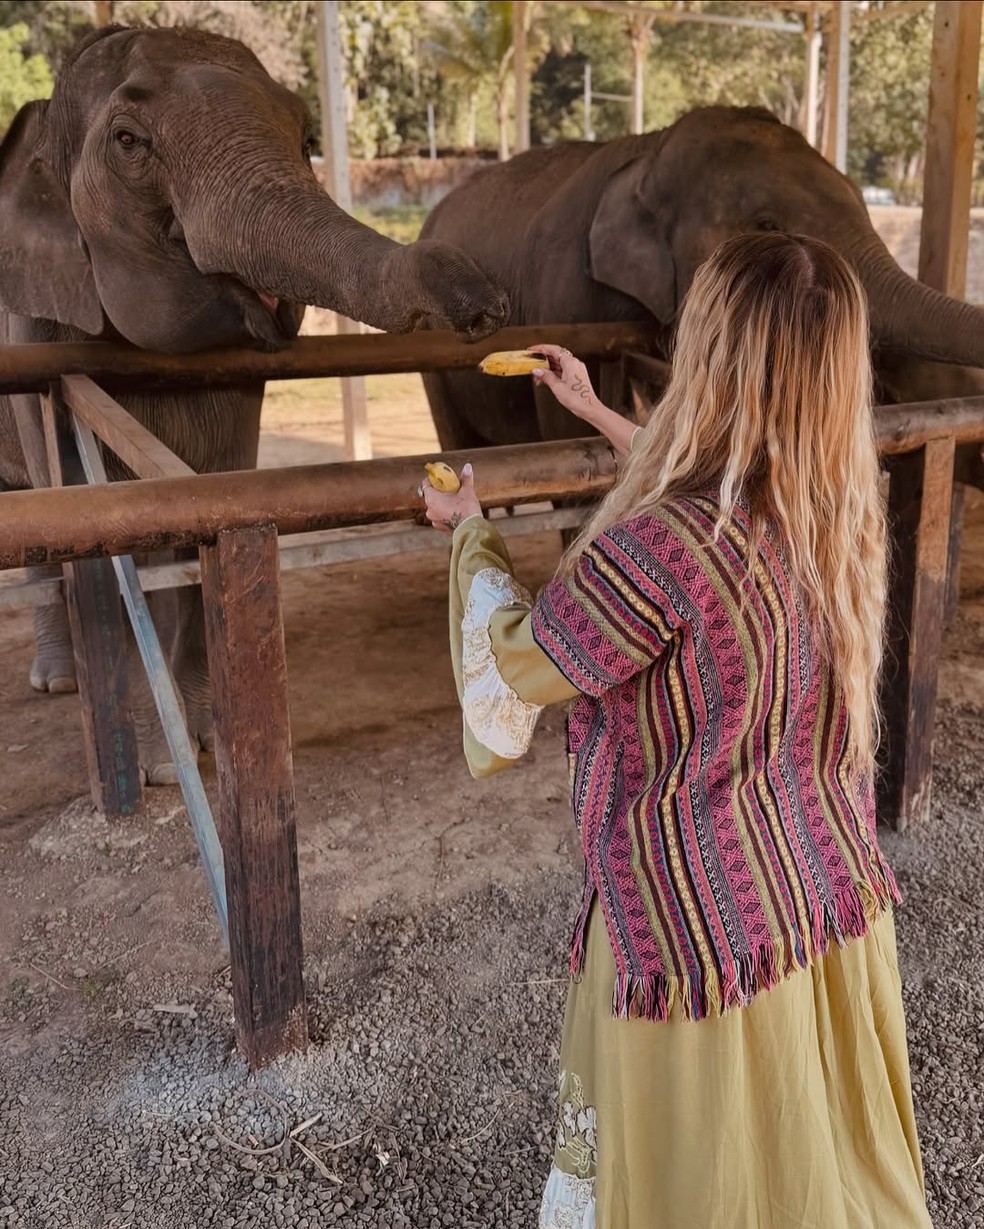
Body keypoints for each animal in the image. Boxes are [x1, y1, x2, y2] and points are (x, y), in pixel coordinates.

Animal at [0, 24, 507, 784]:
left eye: (306, 137)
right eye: (127, 141)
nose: (487, 304)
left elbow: (205, 512)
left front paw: (198, 742)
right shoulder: (37, 331)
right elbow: (103, 540)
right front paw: (158, 765)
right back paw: (56, 680)